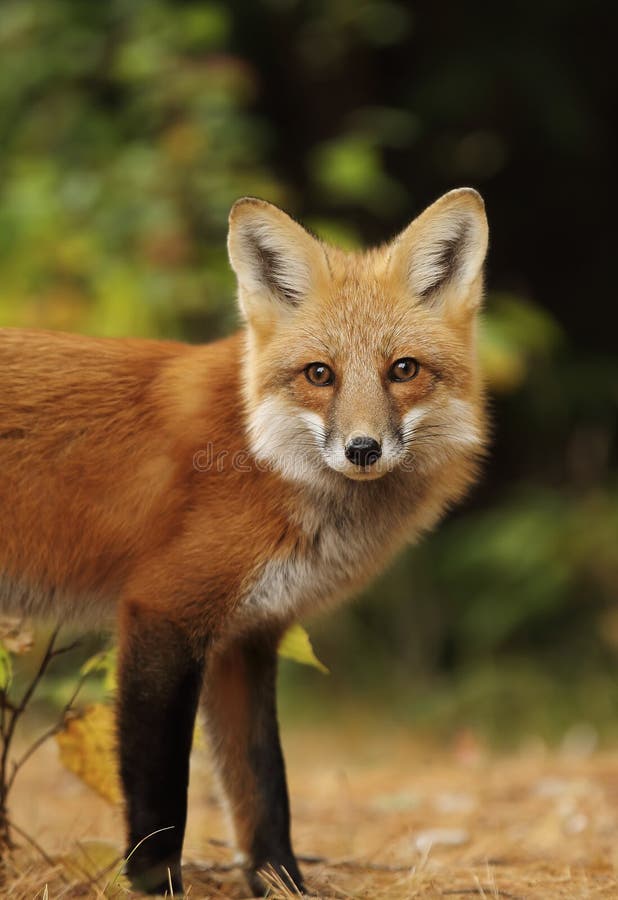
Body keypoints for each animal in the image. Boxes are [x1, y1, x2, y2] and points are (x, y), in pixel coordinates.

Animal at [0, 187, 488, 895]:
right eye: (320, 374)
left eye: (403, 369)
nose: (362, 449)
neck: (261, 456)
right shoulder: (163, 611)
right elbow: (160, 795)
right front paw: (153, 884)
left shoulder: (250, 635)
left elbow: (263, 786)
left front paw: (282, 883)